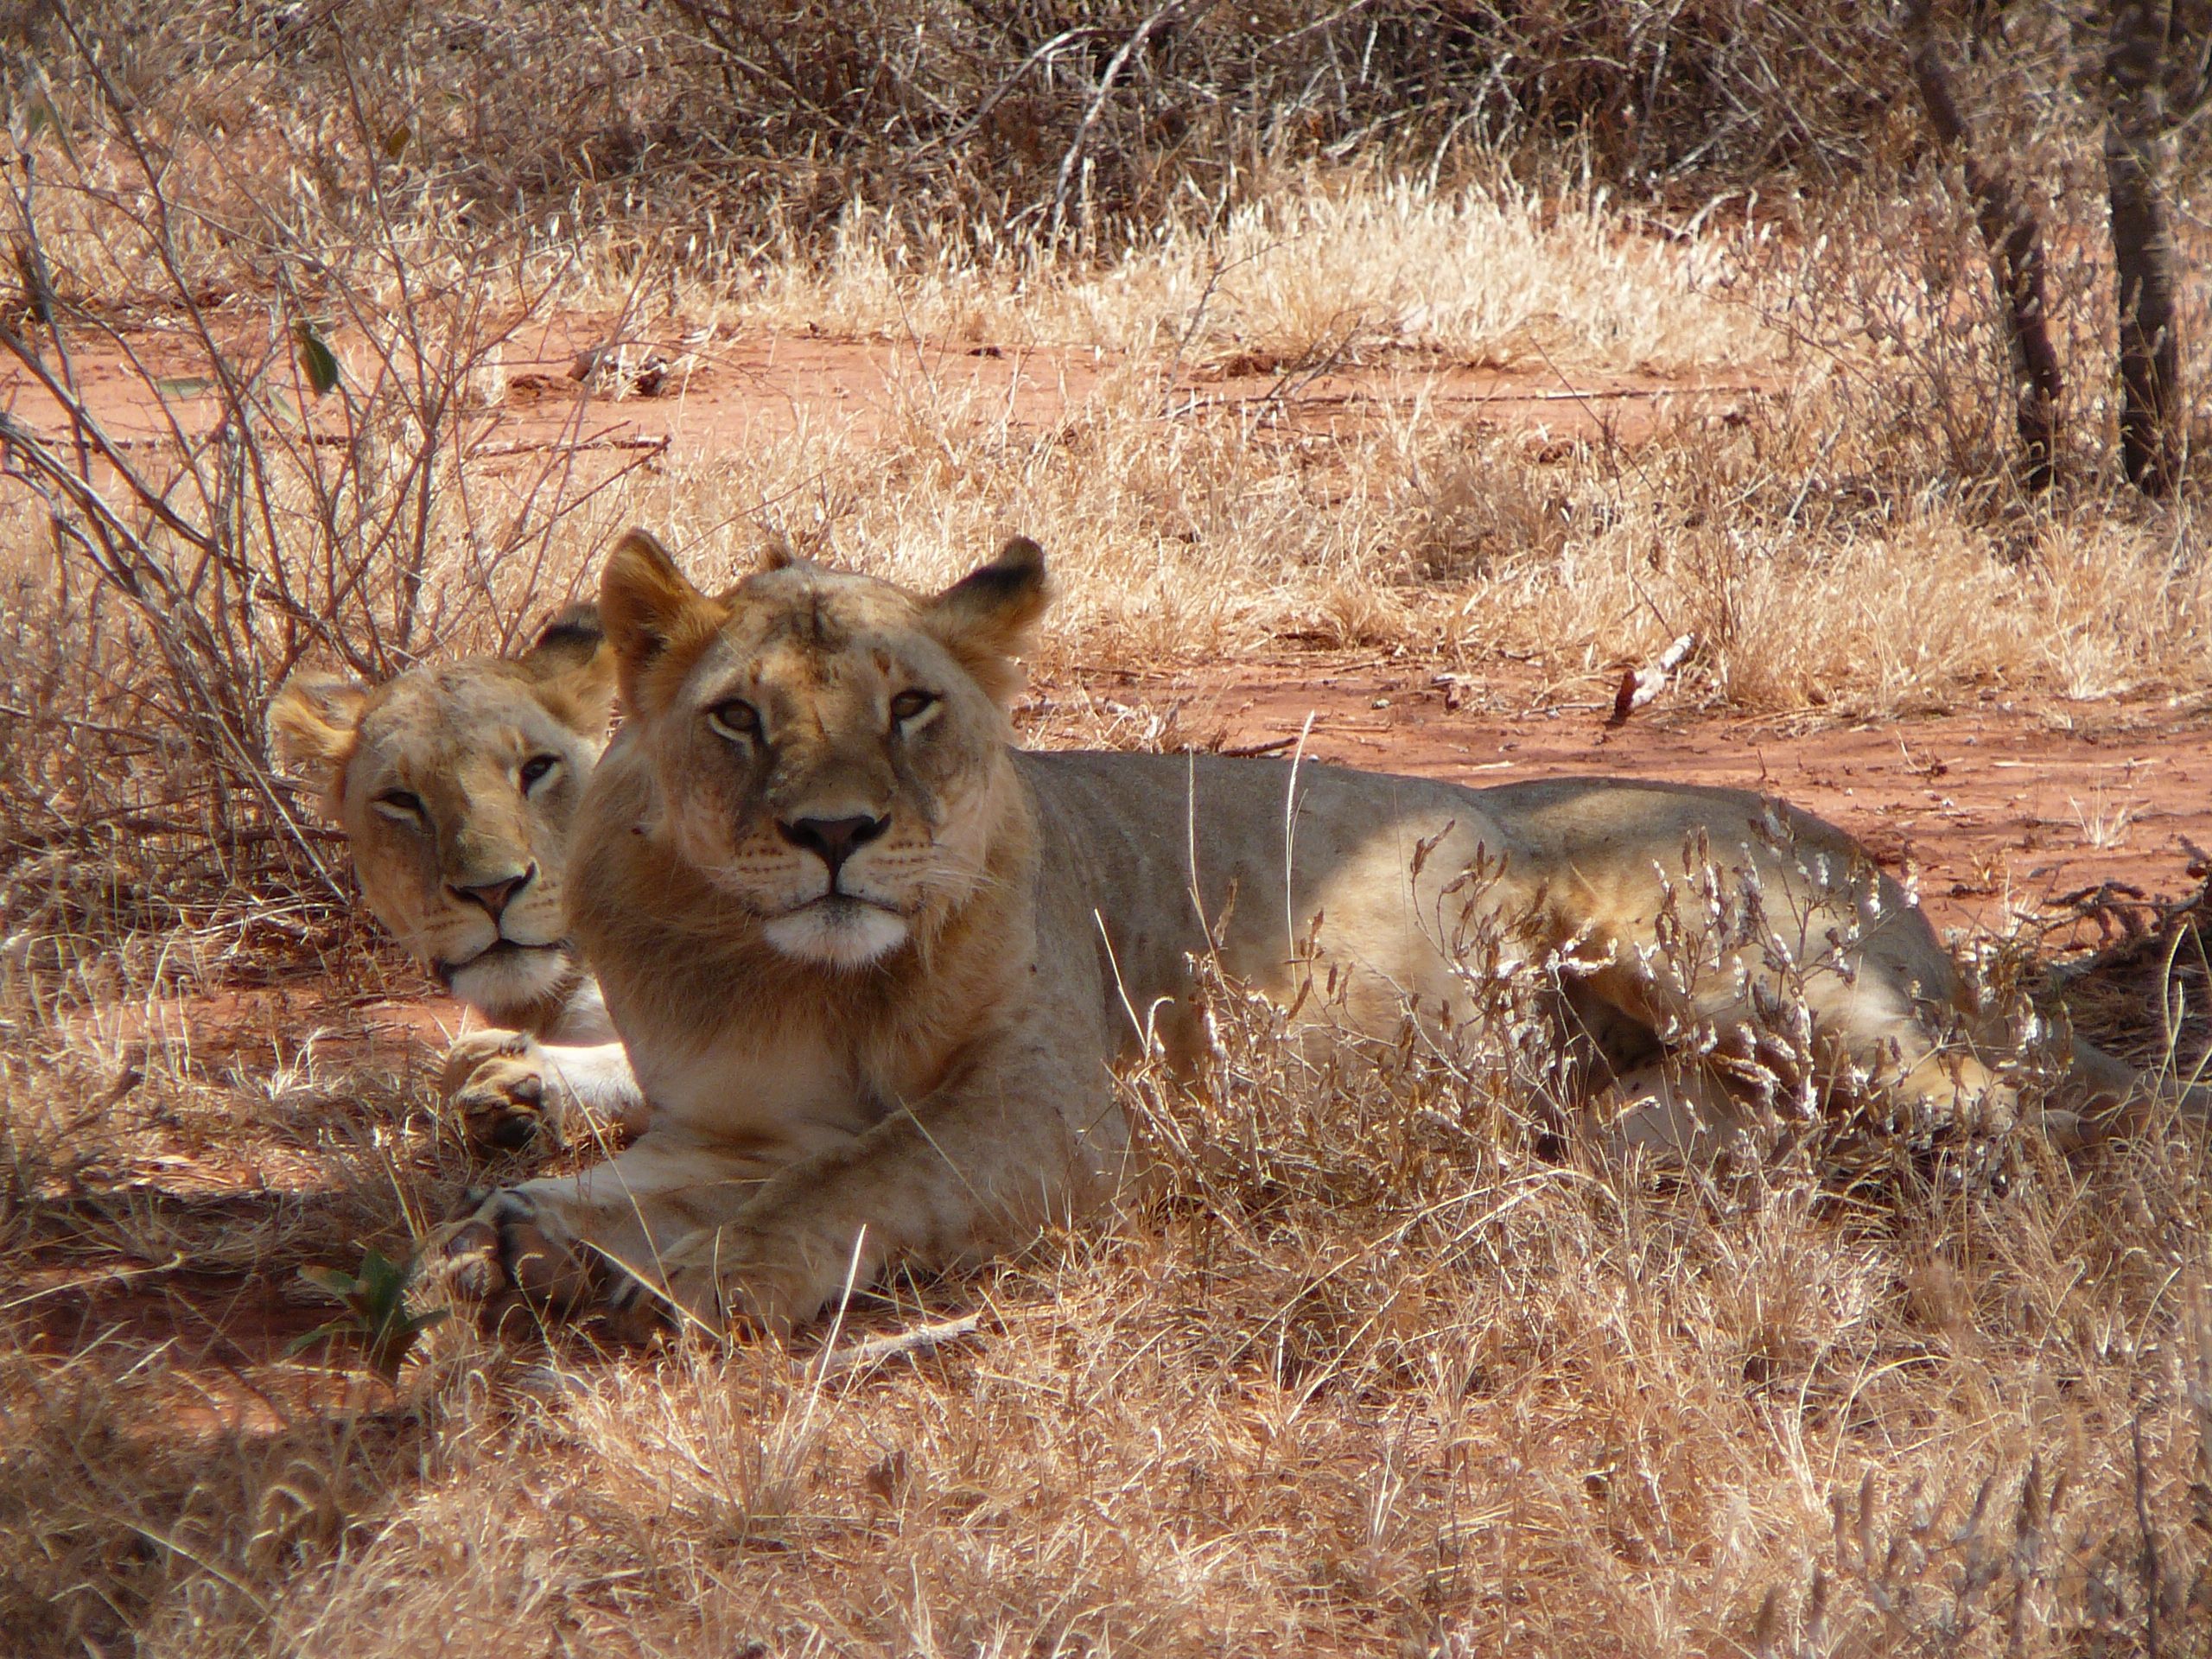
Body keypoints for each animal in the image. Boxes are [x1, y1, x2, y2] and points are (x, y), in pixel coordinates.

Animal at [431, 532, 2194, 1336]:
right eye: (738, 721)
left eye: (911, 707)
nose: (834, 839)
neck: (800, 981)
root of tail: (1879, 872)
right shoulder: (726, 1117)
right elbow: (634, 1178)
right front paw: (510, 1236)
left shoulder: (1055, 1115)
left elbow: (842, 1189)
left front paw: (678, 1283)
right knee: (1712, 1126)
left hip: (1709, 942)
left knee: (1995, 1105)